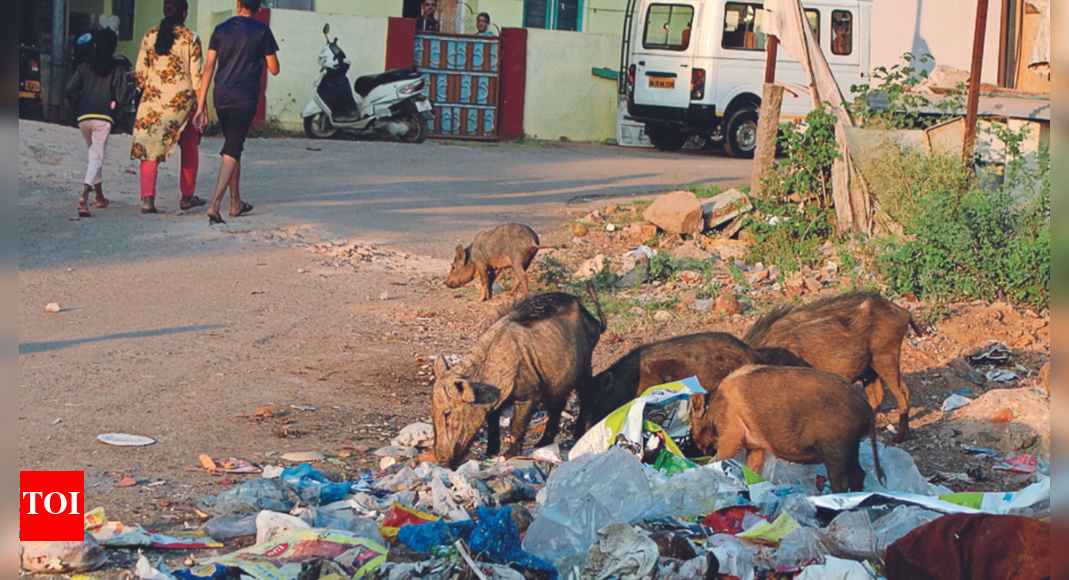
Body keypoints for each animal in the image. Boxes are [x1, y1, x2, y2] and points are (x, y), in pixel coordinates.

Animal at [432, 286, 606, 469]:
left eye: (447, 413)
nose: (441, 462)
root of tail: (594, 321)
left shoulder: (530, 393)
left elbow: (517, 425)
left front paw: (509, 456)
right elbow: (492, 423)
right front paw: (491, 453)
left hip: (586, 364)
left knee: (586, 394)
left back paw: (578, 434)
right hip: (556, 382)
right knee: (558, 404)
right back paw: (540, 444)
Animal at [689, 365, 884, 493]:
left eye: (692, 420)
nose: (694, 447)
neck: (716, 408)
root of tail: (866, 410)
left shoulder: (730, 434)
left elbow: (723, 457)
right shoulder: (756, 445)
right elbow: (752, 467)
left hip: (836, 446)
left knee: (841, 482)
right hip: (853, 446)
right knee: (859, 474)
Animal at [743, 291, 922, 442]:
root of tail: (905, 313)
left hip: (885, 357)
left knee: (901, 392)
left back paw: (899, 437)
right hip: (870, 368)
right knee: (880, 395)